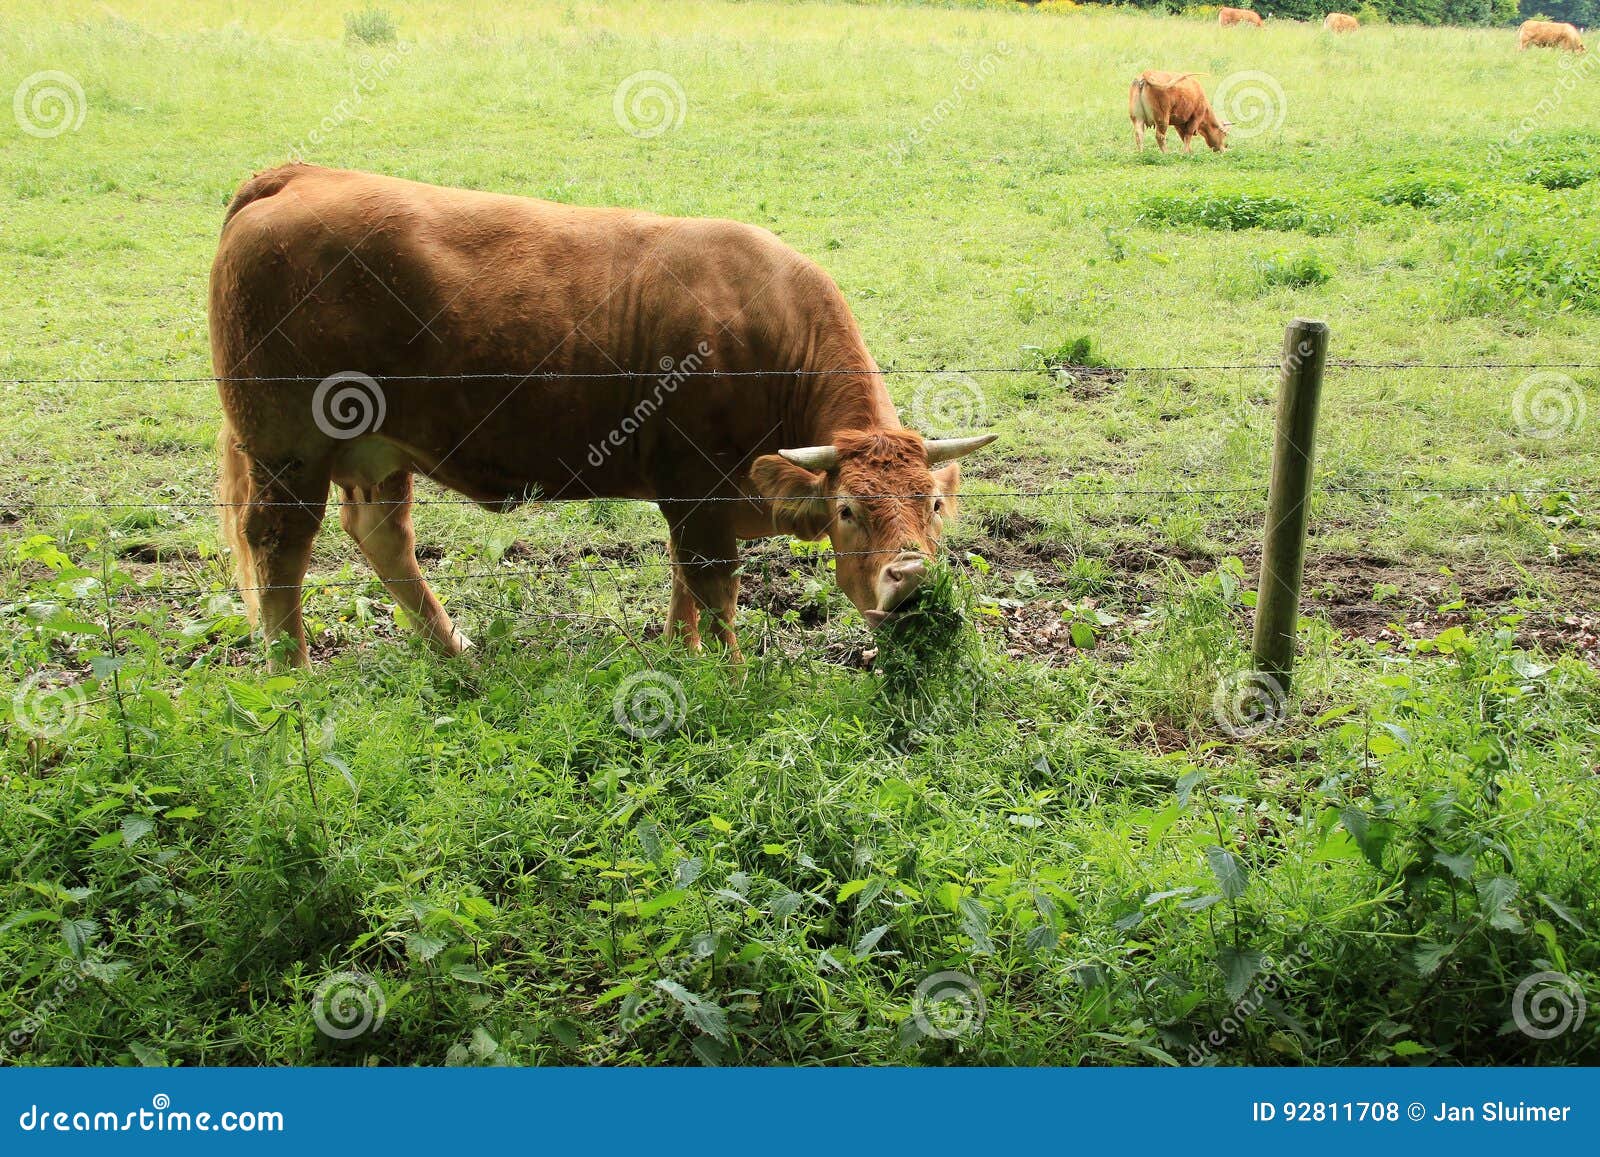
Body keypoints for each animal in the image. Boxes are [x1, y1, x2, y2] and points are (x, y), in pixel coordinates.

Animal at [210, 165, 996, 666]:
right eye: (847, 510)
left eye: (932, 504)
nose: (912, 581)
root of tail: (297, 174)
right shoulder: (698, 494)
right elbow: (717, 593)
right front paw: (733, 678)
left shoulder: (696, 503)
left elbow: (683, 586)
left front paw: (683, 655)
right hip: (288, 449)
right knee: (279, 547)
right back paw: (292, 674)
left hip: (379, 449)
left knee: (382, 536)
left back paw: (458, 653)